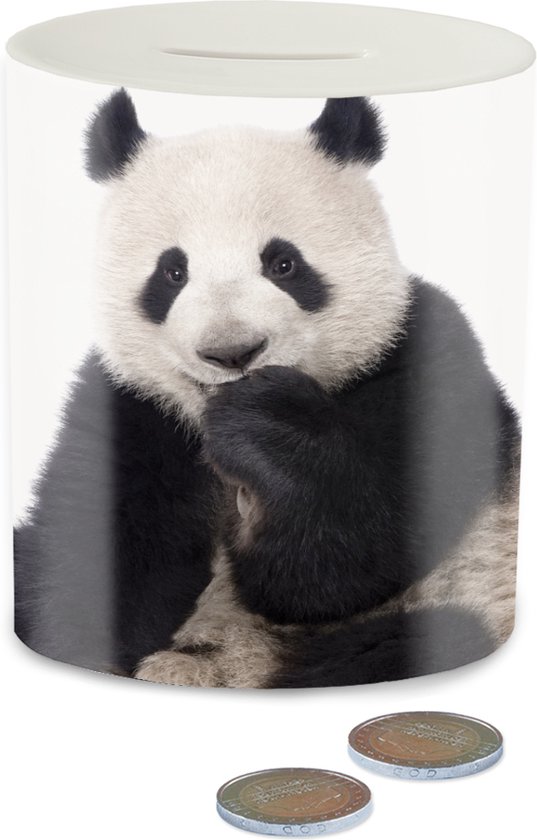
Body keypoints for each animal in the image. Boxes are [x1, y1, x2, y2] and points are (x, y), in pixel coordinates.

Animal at [14, 89, 520, 688]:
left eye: (283, 264)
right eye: (172, 273)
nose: (232, 352)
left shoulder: (421, 364)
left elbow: (335, 566)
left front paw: (267, 428)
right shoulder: (133, 407)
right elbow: (95, 561)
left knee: (422, 640)